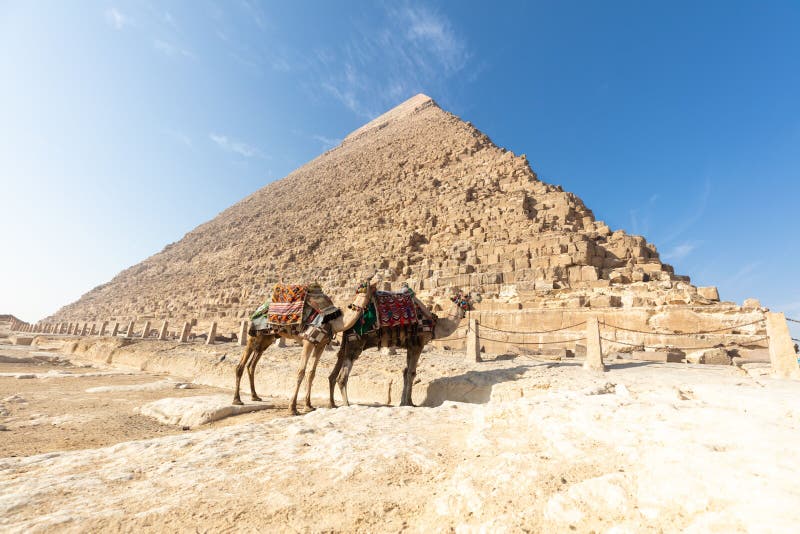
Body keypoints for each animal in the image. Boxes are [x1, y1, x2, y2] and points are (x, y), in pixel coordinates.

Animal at [233, 280, 375, 415]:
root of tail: (259, 308)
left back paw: (255, 396)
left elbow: (311, 373)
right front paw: (292, 408)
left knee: (252, 365)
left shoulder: (321, 344)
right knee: (241, 365)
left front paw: (308, 406)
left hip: (266, 338)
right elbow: (301, 371)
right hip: (256, 334)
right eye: (368, 289)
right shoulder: (308, 341)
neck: (333, 320)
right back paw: (237, 400)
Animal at [328, 288, 479, 409]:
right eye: (467, 295)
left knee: (334, 371)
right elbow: (412, 373)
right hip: (356, 342)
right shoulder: (418, 344)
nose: (479, 296)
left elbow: (406, 372)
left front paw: (404, 402)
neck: (434, 324)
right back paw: (347, 405)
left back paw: (333, 404)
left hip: (346, 341)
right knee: (342, 377)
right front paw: (409, 403)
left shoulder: (410, 346)